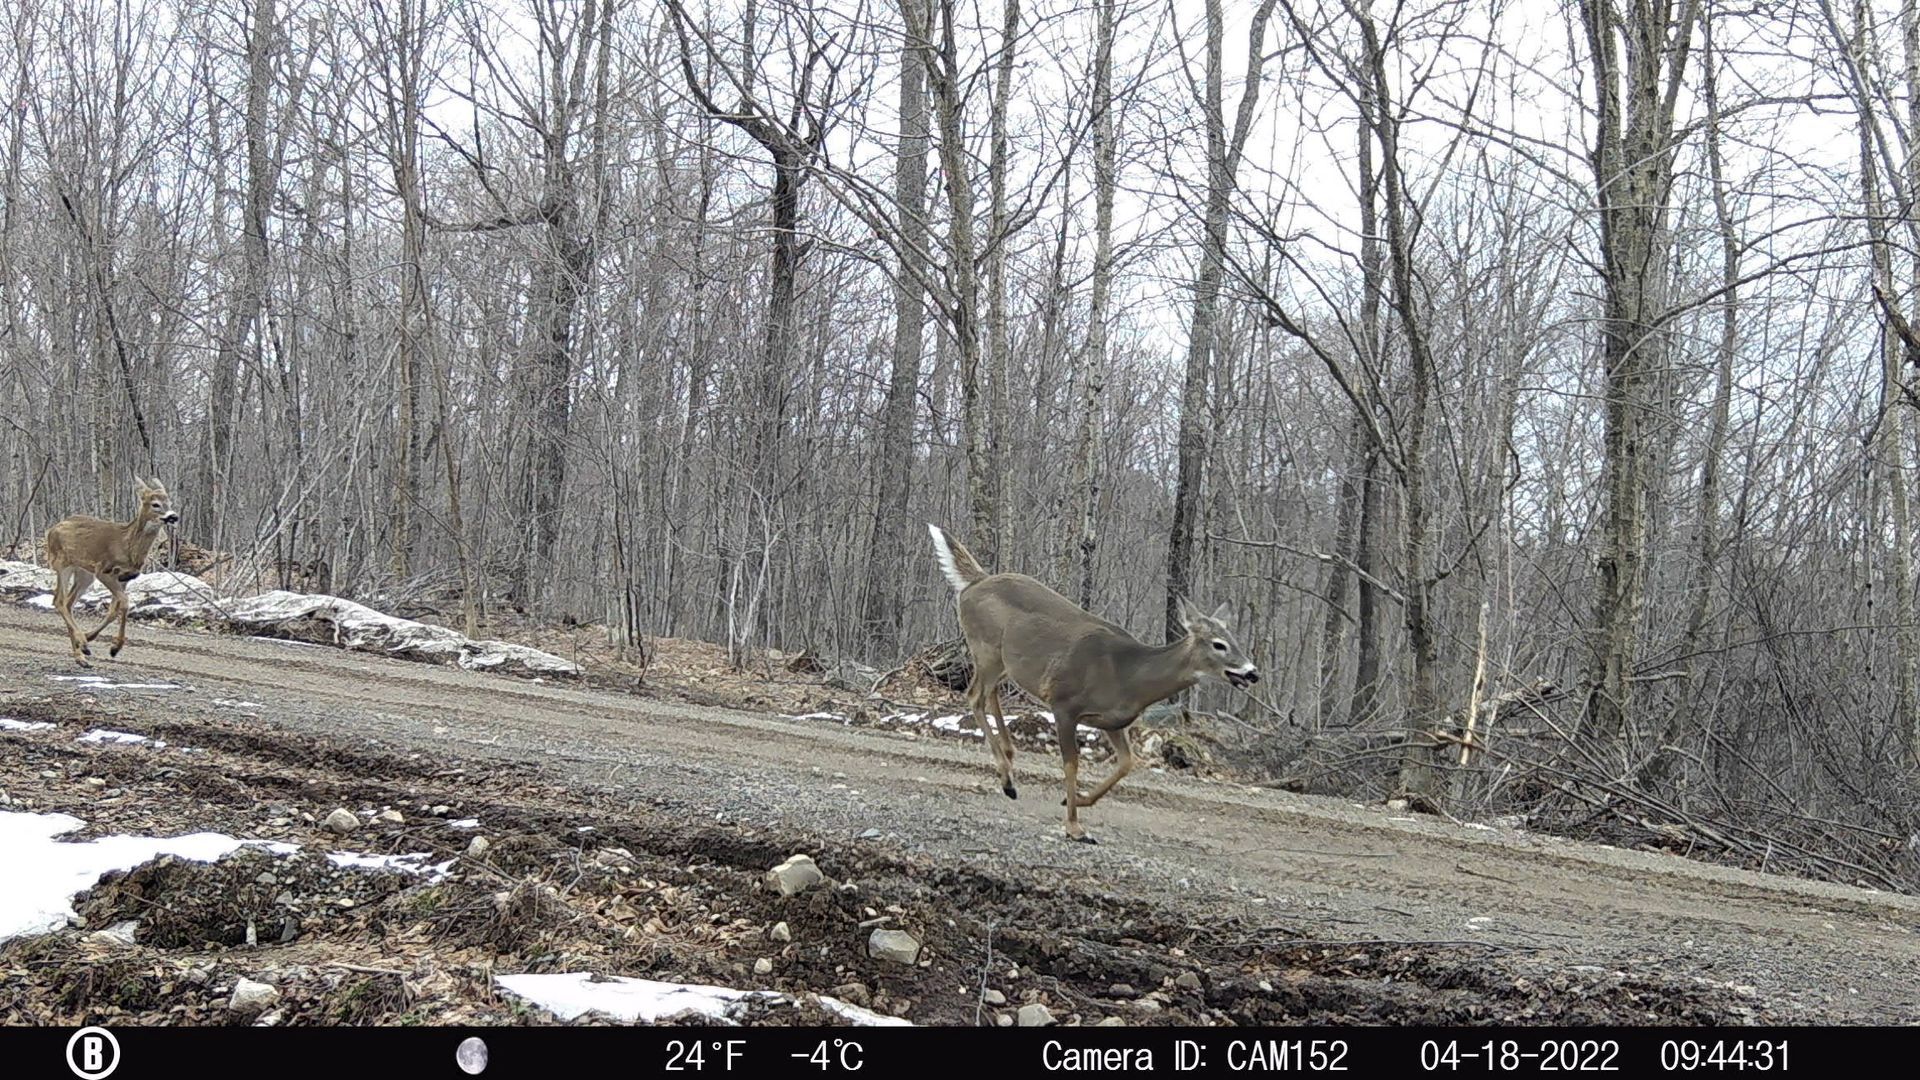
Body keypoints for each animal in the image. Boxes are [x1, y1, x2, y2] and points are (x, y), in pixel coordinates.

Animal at [45, 475, 180, 666]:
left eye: (169, 502)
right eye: (155, 504)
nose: (173, 516)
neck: (127, 545)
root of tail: (52, 529)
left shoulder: (125, 578)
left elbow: (114, 609)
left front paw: (97, 639)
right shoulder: (104, 570)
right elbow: (124, 602)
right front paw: (112, 646)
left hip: (84, 573)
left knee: (68, 602)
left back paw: (80, 656)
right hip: (62, 562)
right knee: (59, 601)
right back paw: (82, 646)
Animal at [927, 524, 1259, 843]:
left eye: (1235, 640)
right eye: (1218, 644)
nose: (1252, 672)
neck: (1128, 675)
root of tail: (975, 583)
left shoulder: (1113, 722)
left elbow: (1128, 763)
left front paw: (1079, 800)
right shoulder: (1064, 703)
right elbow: (1072, 764)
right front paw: (1075, 828)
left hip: (1005, 662)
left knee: (989, 693)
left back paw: (1009, 761)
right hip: (987, 649)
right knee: (975, 696)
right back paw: (1007, 779)